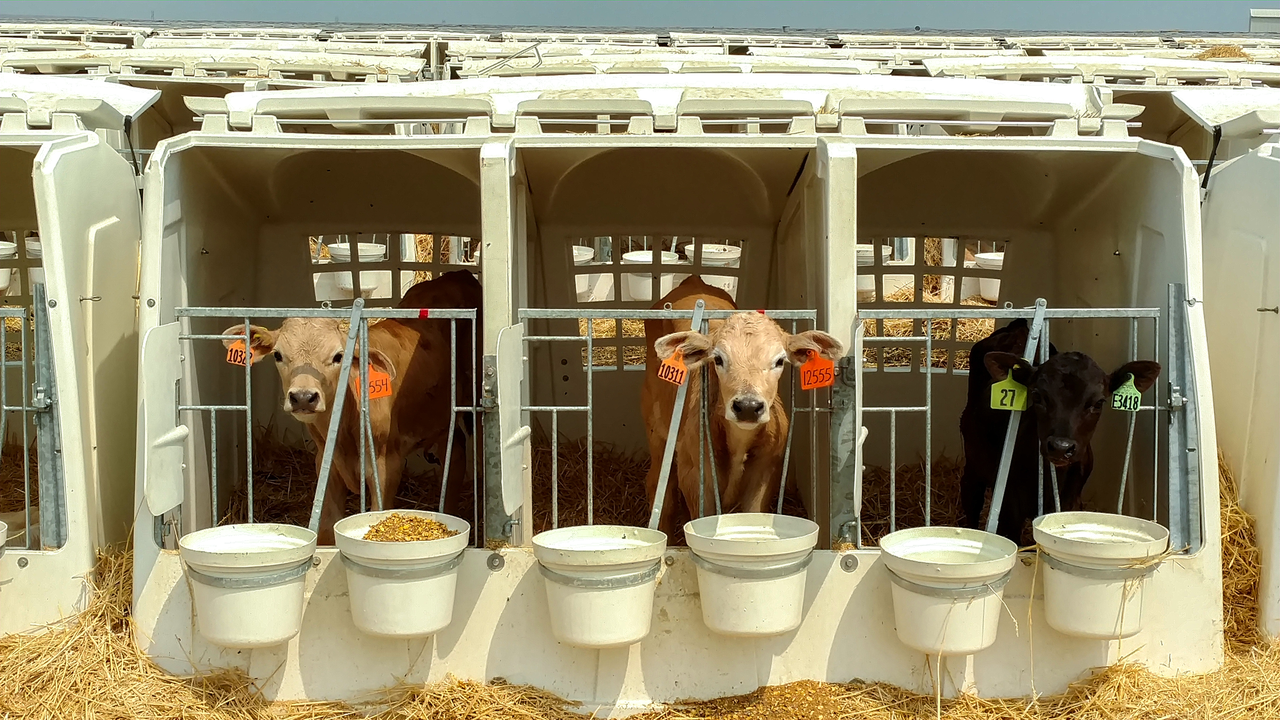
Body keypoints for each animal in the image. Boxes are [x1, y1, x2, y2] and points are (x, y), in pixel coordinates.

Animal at [222, 270, 483, 544]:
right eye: (278, 355)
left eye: (338, 356)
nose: (303, 397)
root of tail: (458, 273)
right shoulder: (326, 465)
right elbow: (327, 527)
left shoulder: (386, 466)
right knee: (455, 453)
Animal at [640, 277, 844, 535]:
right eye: (718, 359)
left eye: (780, 361)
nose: (747, 406)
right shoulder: (695, 474)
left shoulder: (766, 471)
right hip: (656, 434)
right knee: (660, 490)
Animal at [960, 318, 1161, 544]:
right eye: (1037, 396)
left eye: (1098, 402)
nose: (1060, 447)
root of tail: (1018, 327)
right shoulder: (1009, 509)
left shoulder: (1072, 502)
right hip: (973, 461)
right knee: (971, 498)